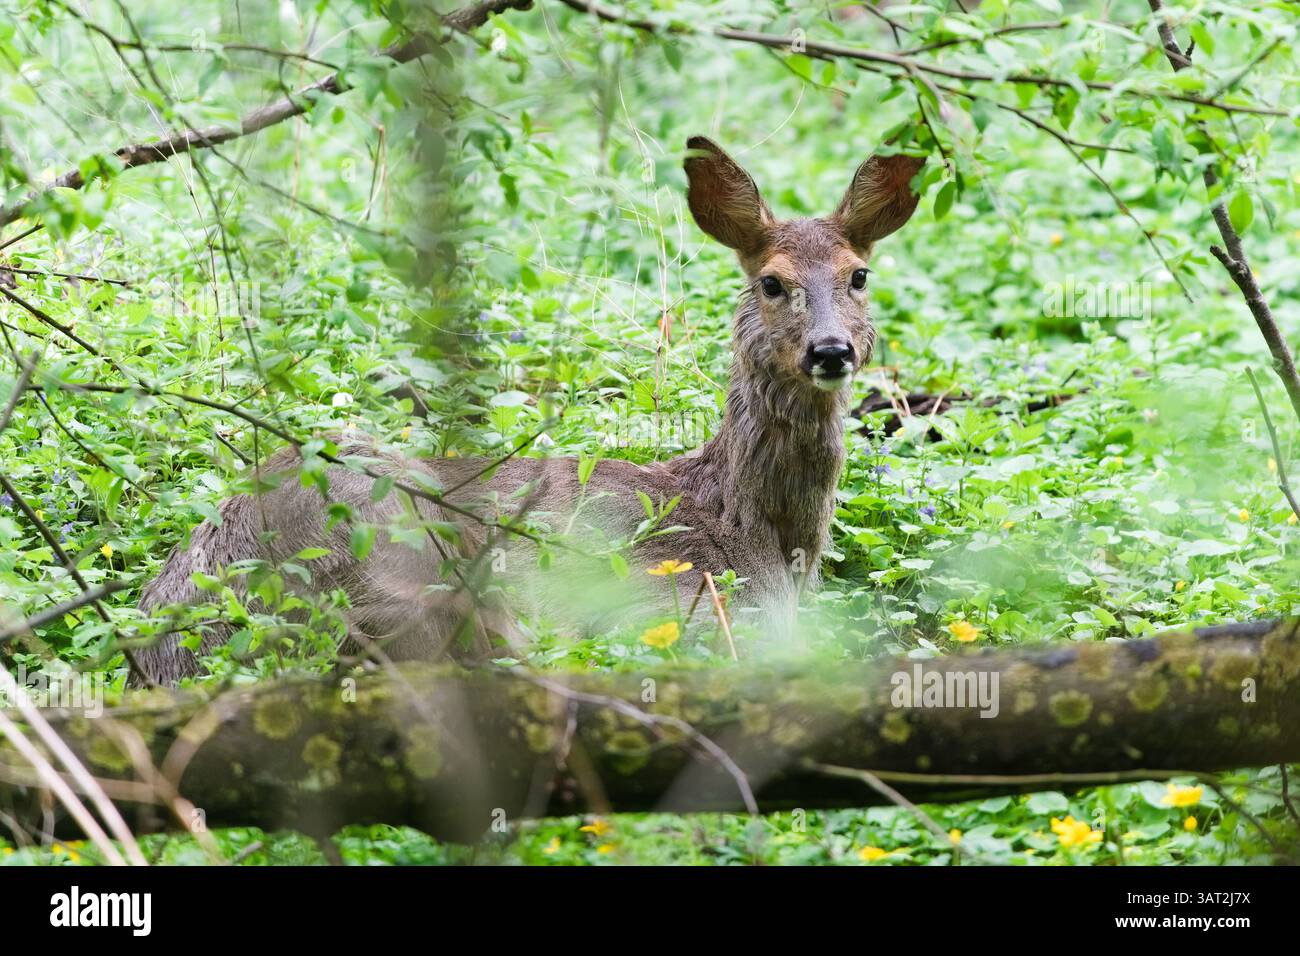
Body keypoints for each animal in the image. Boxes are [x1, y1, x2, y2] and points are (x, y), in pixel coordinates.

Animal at [133, 137, 923, 685]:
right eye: (771, 282)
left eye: (858, 275)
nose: (831, 350)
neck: (747, 532)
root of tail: (165, 641)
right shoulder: (667, 608)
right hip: (387, 541)